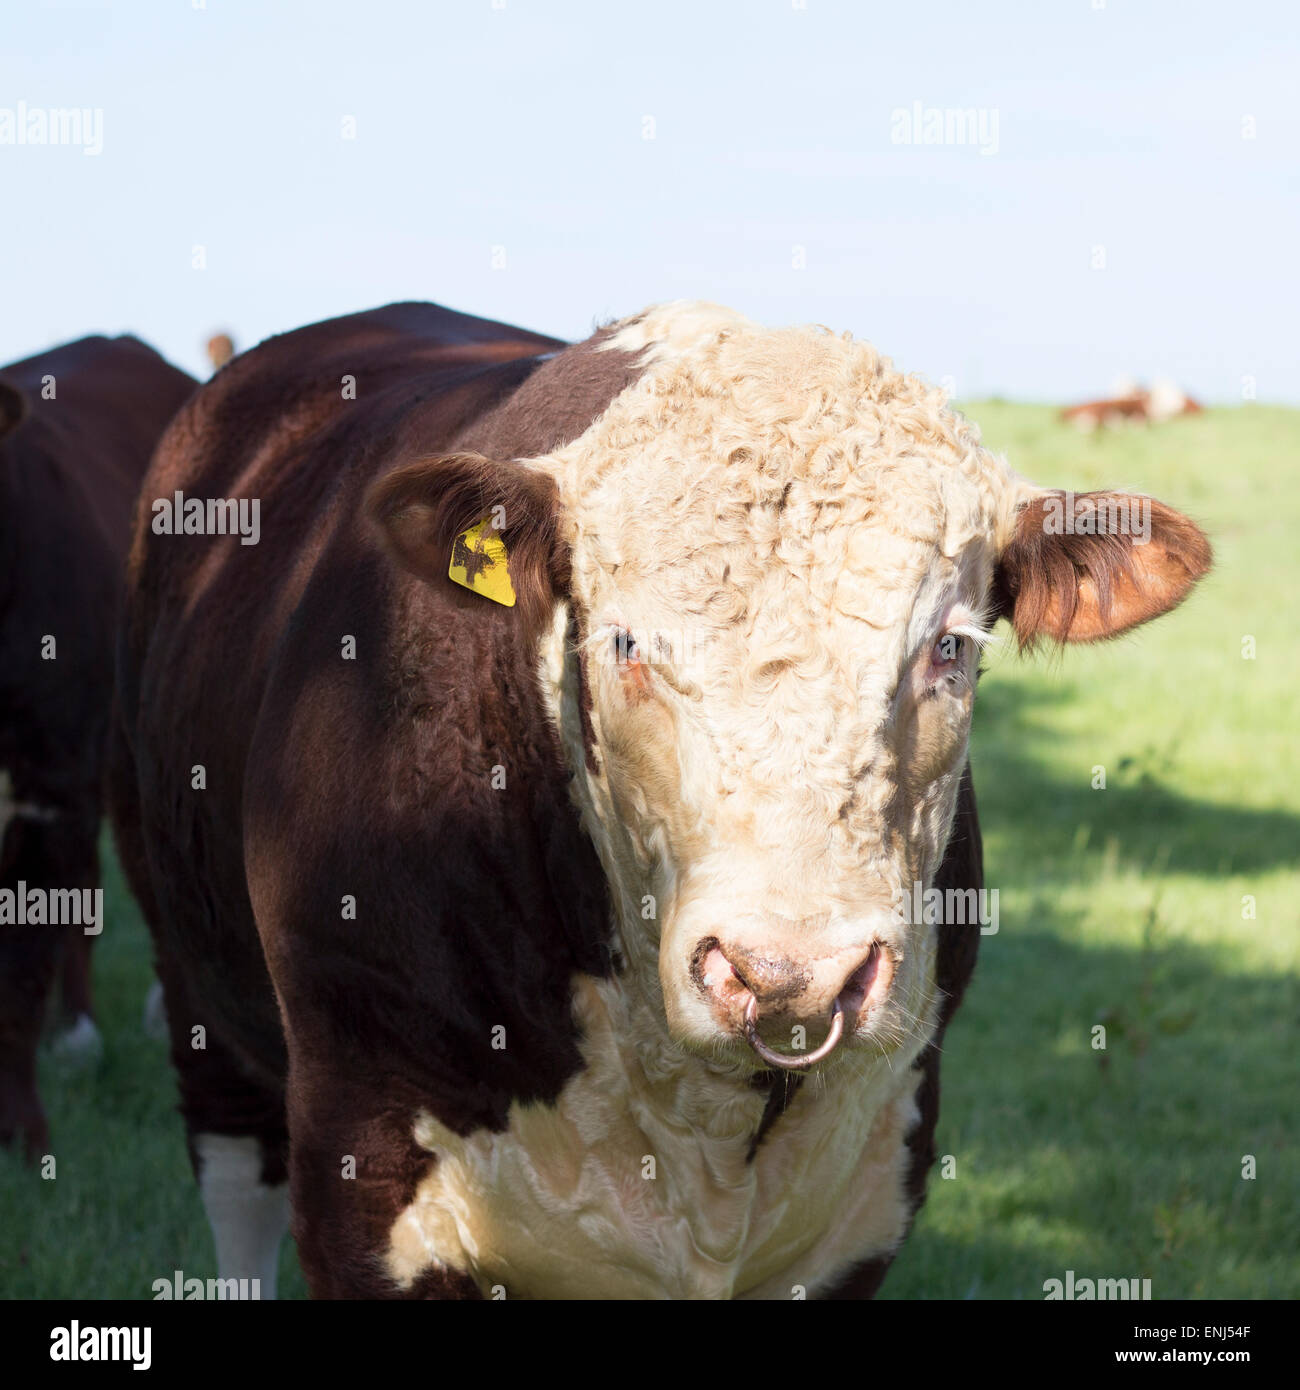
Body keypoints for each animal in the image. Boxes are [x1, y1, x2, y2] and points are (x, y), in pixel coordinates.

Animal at [110, 300, 1211, 1299]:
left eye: (948, 645)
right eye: (626, 640)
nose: (790, 975)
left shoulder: (865, 1199)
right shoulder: (363, 1178)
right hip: (194, 978)